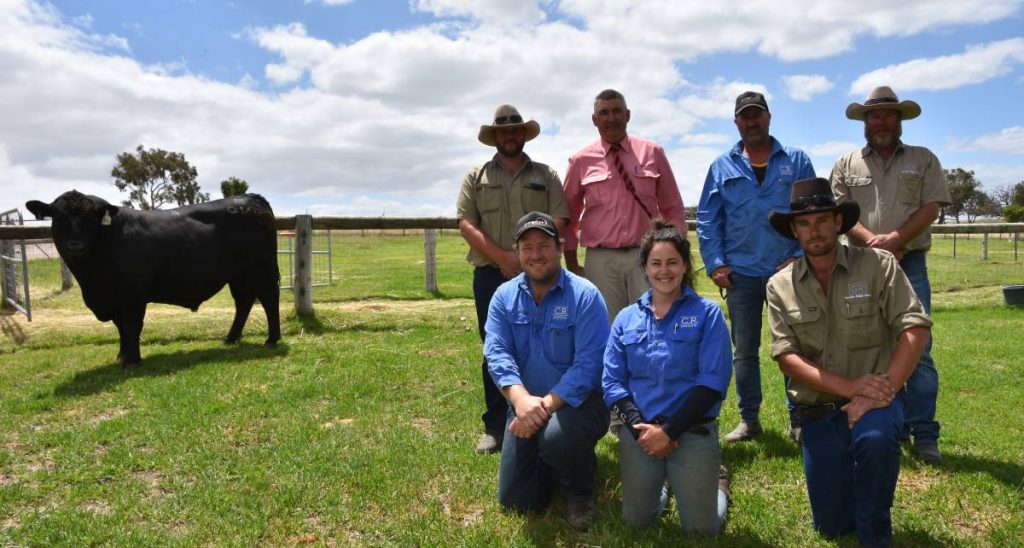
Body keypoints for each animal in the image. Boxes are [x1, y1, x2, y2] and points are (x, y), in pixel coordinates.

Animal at [26, 190, 281, 368]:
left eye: (91, 220)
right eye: (58, 218)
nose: (75, 247)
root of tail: (250, 198)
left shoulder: (133, 294)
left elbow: (131, 325)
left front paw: (132, 361)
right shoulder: (114, 298)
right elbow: (120, 327)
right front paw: (122, 355)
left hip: (262, 269)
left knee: (269, 299)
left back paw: (271, 339)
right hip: (238, 275)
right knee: (243, 302)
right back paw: (231, 338)